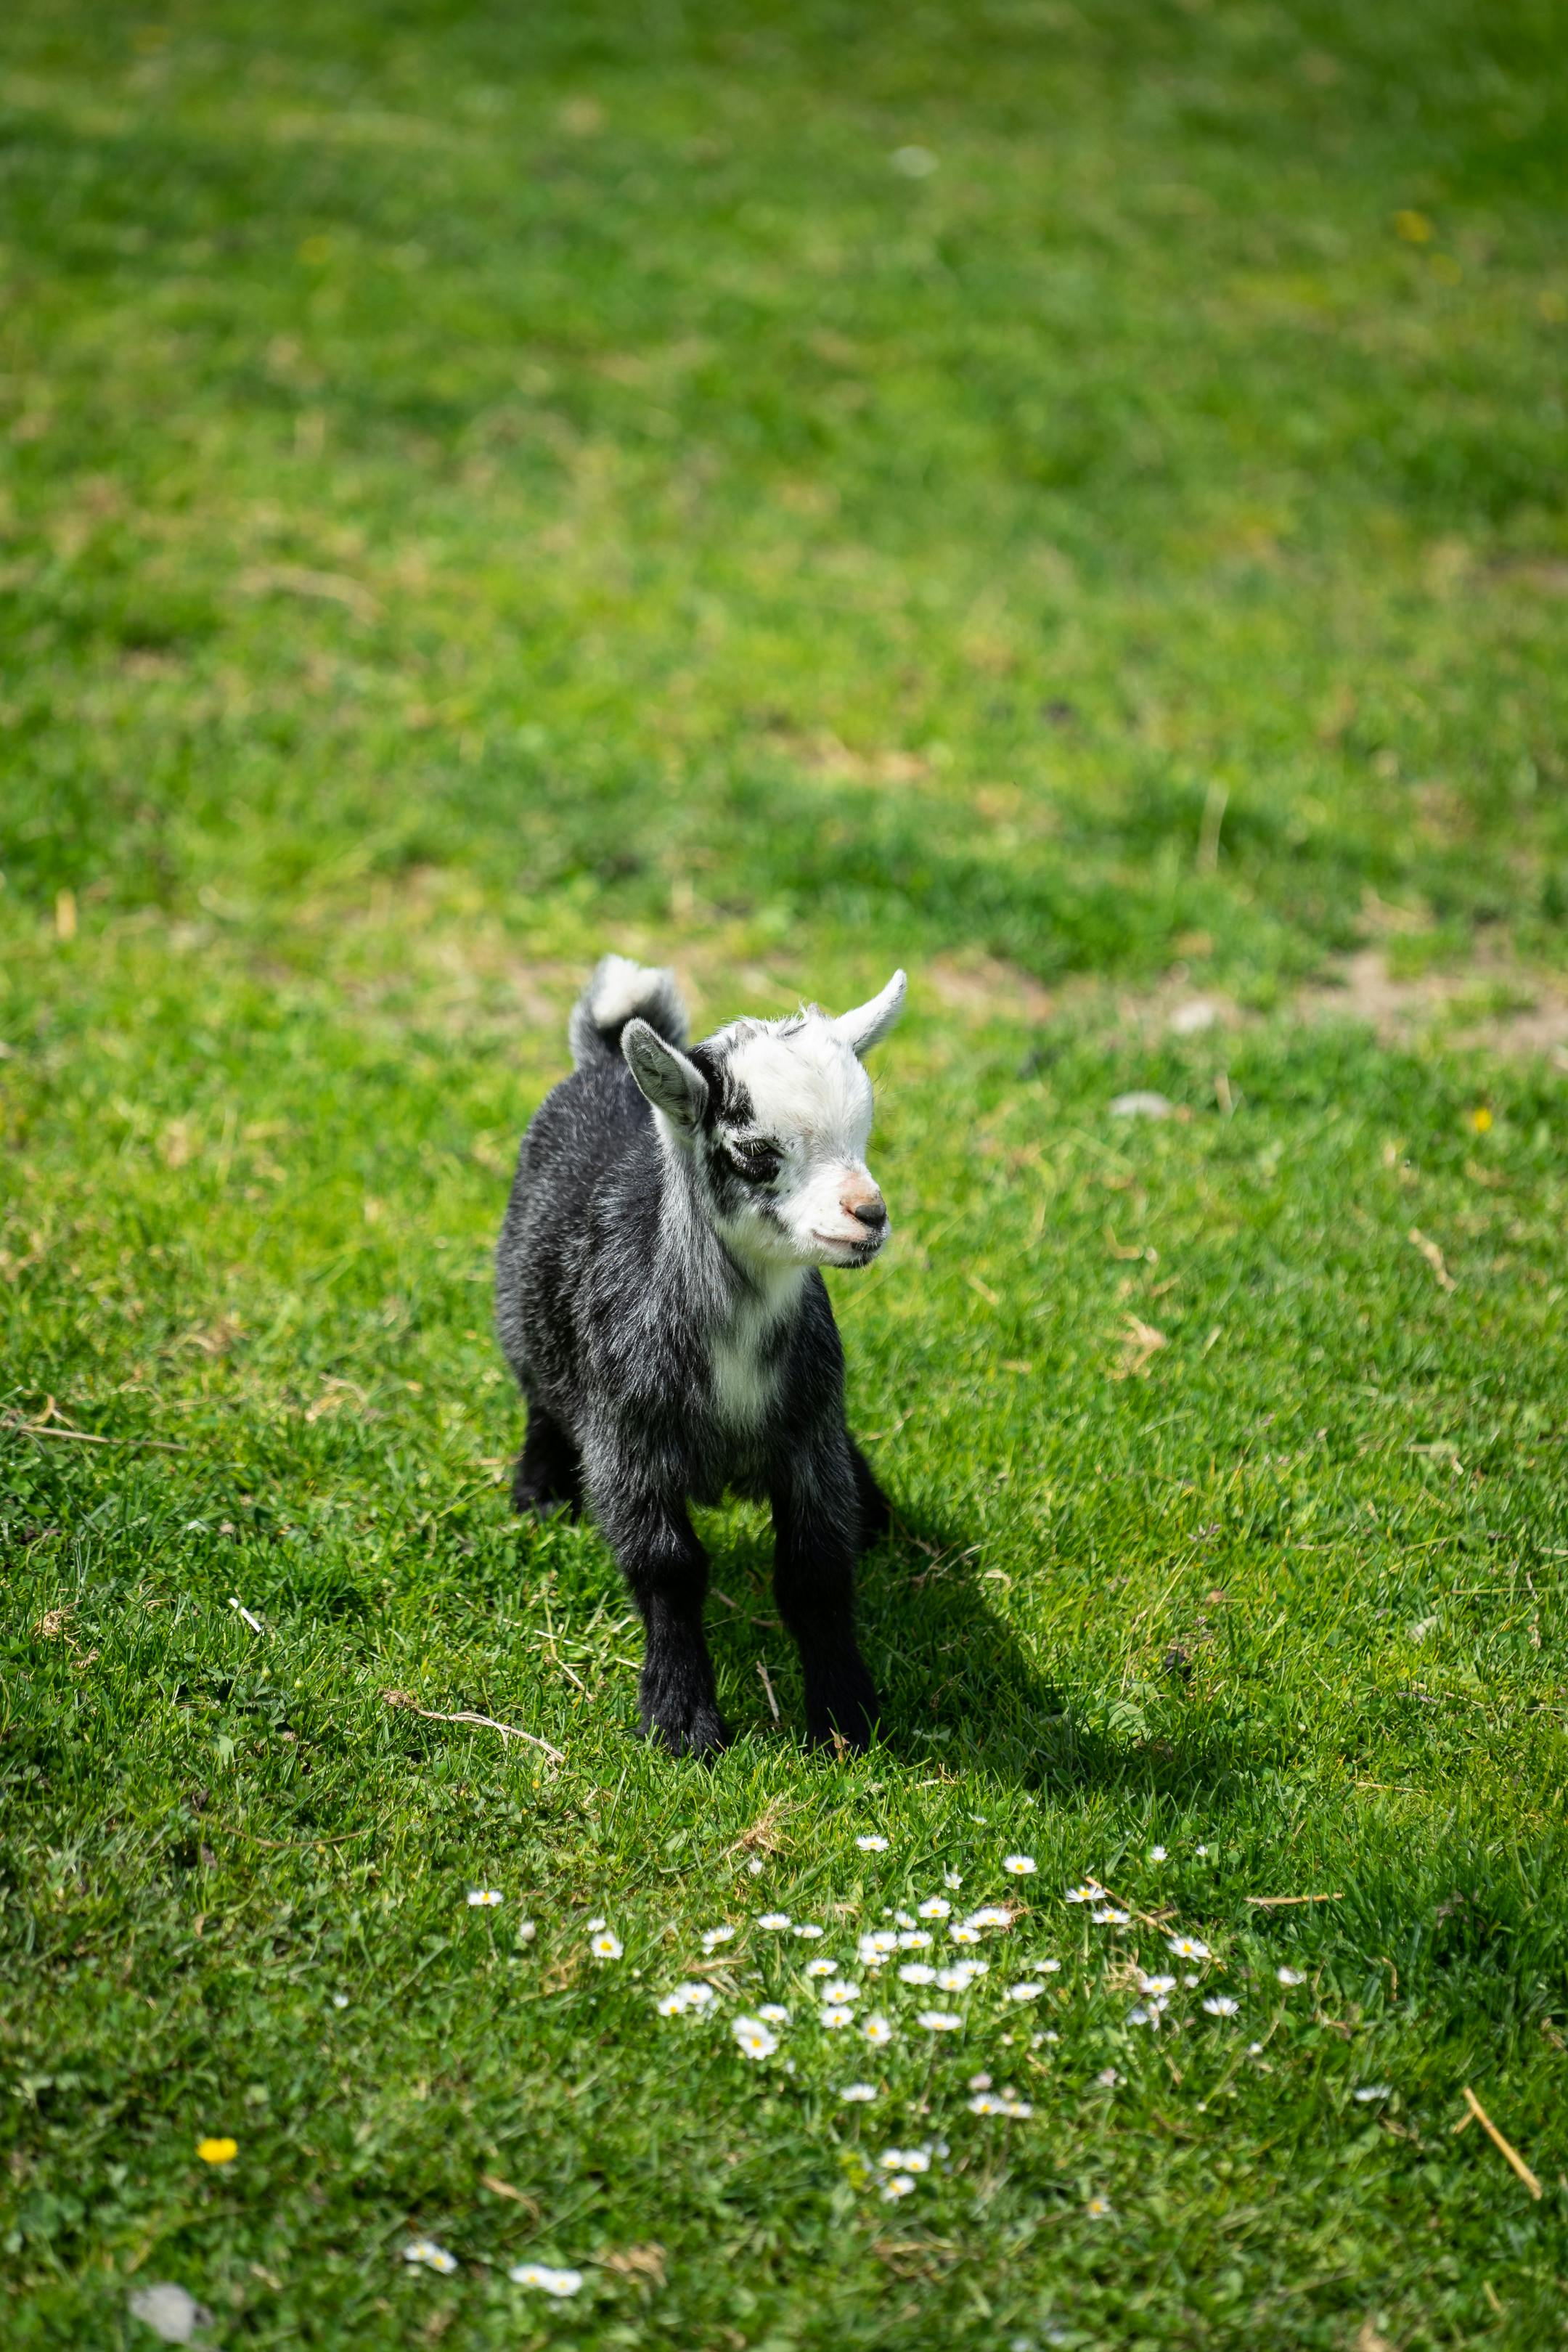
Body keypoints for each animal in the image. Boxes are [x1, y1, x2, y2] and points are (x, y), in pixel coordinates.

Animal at [495, 955, 906, 1757]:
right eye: (754, 1151)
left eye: (865, 1135)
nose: (868, 1216)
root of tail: (607, 1061)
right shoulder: (627, 1444)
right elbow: (668, 1568)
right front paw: (680, 1718)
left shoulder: (809, 1435)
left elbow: (816, 1567)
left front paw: (845, 1713)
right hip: (520, 1312)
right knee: (538, 1388)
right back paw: (540, 1488)